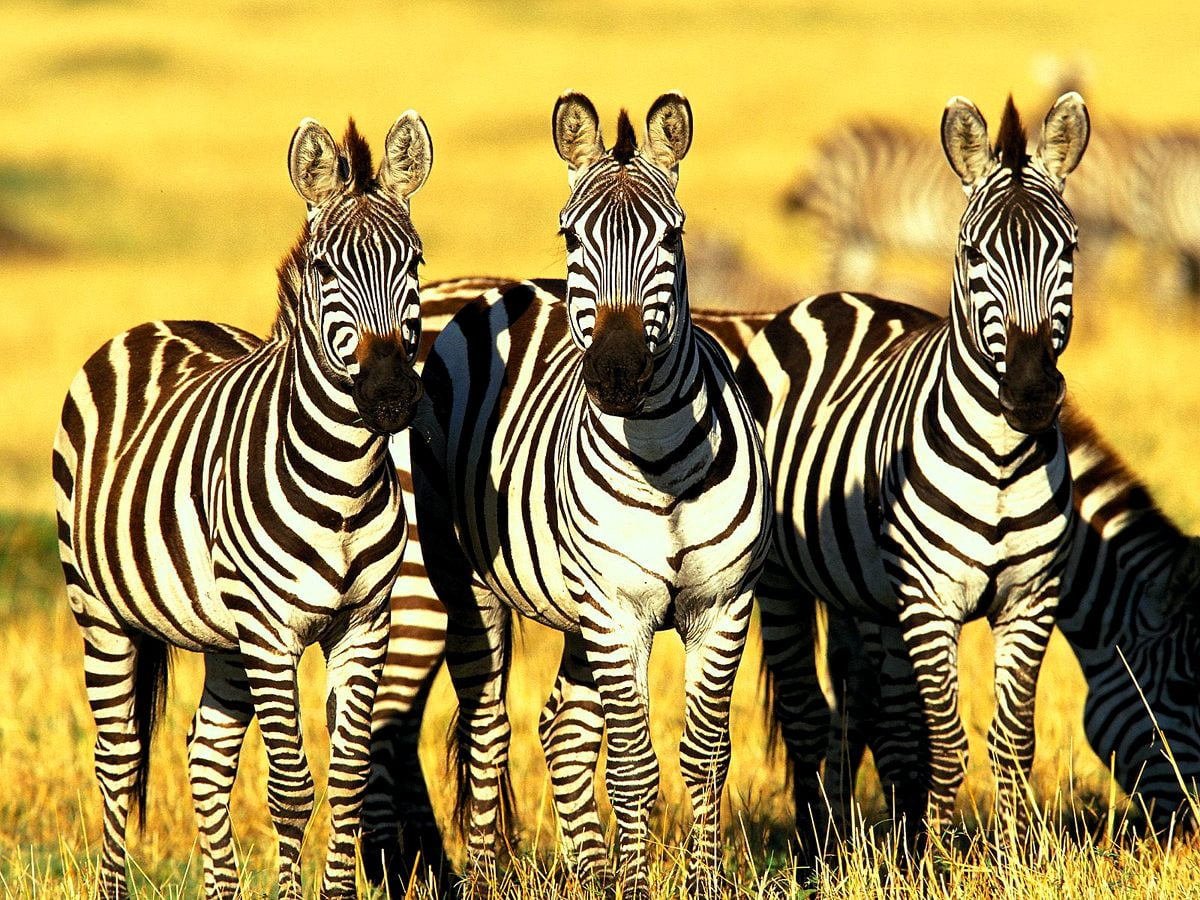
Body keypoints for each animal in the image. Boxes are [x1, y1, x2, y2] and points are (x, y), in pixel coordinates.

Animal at [52, 113, 432, 899]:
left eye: (415, 260)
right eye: (325, 271)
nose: (390, 398)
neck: (345, 480)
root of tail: (153, 324)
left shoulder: (363, 625)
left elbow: (347, 783)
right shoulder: (270, 630)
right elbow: (291, 788)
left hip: (221, 634)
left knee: (206, 753)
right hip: (100, 612)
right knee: (117, 757)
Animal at [406, 92, 770, 899]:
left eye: (673, 236)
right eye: (571, 236)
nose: (616, 374)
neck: (662, 460)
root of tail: (492, 290)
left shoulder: (722, 605)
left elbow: (706, 756)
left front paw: (699, 883)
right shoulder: (617, 609)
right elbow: (633, 764)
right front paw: (636, 888)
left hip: (577, 607)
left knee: (562, 729)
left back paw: (593, 875)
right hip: (470, 584)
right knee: (489, 729)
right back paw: (488, 877)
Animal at [738, 93, 1090, 854]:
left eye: (1070, 248)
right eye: (973, 252)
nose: (1030, 394)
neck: (1001, 458)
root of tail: (831, 297)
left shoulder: (1031, 599)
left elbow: (1011, 741)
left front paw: (1014, 857)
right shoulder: (931, 603)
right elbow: (946, 743)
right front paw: (940, 860)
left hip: (860, 595)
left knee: (859, 708)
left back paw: (848, 846)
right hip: (780, 582)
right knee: (808, 718)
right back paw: (813, 855)